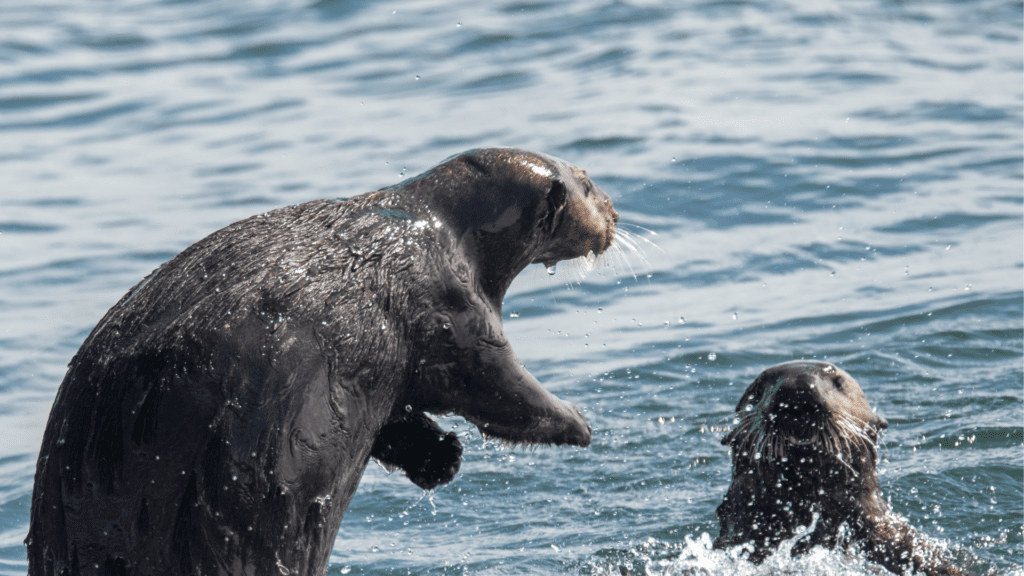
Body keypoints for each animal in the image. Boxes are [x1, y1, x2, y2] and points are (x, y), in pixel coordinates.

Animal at [27, 148, 618, 576]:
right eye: (588, 182)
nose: (614, 212)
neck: (436, 228)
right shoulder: (451, 310)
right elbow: (497, 386)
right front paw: (578, 422)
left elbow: (399, 413)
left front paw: (441, 457)